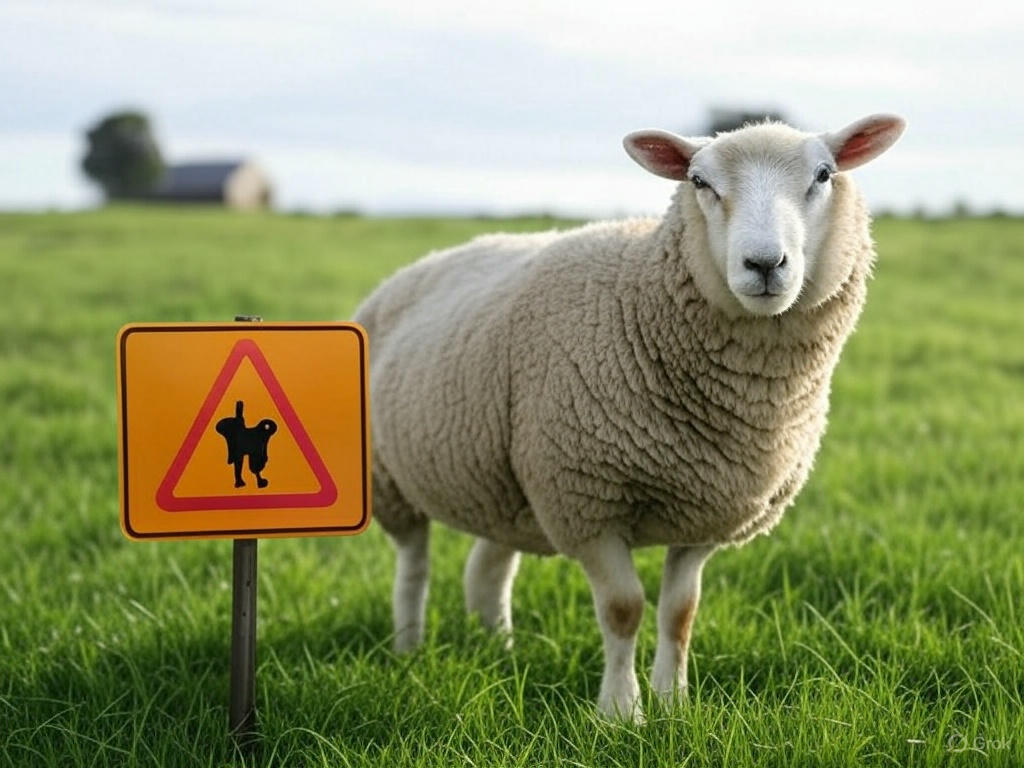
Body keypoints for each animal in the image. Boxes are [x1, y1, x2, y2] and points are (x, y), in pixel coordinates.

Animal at [354, 113, 906, 721]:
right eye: (698, 181)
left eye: (824, 174)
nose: (764, 264)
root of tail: (417, 266)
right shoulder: (586, 501)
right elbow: (624, 609)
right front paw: (621, 713)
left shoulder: (704, 513)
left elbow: (679, 612)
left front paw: (674, 704)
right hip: (392, 478)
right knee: (414, 566)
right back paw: (409, 647)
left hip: (510, 481)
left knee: (487, 568)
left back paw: (496, 649)